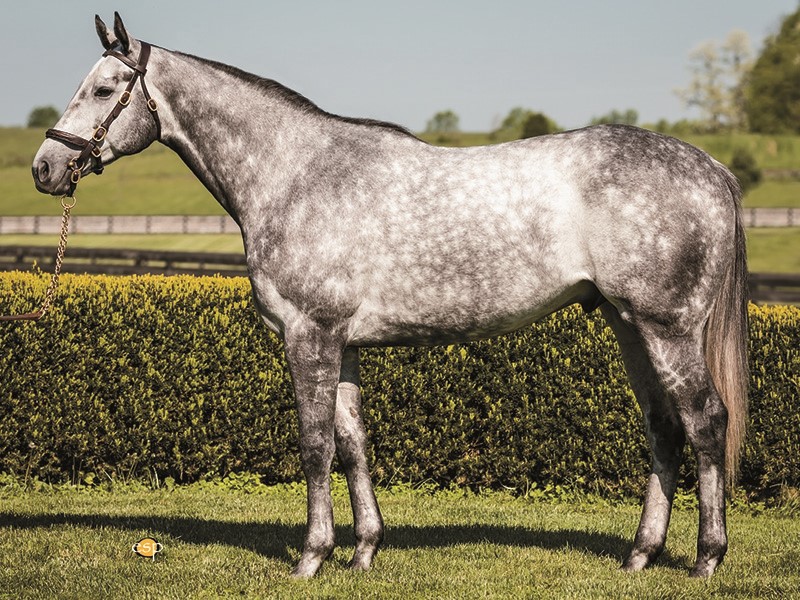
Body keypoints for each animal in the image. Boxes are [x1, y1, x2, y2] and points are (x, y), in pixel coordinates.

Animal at [32, 13, 748, 579]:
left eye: (104, 88)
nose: (45, 168)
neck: (295, 174)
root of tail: (711, 168)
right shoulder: (341, 343)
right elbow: (352, 442)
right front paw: (364, 551)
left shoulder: (309, 335)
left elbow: (315, 444)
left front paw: (311, 557)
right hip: (629, 325)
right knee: (663, 427)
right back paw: (640, 556)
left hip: (667, 328)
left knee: (705, 420)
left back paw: (707, 558)